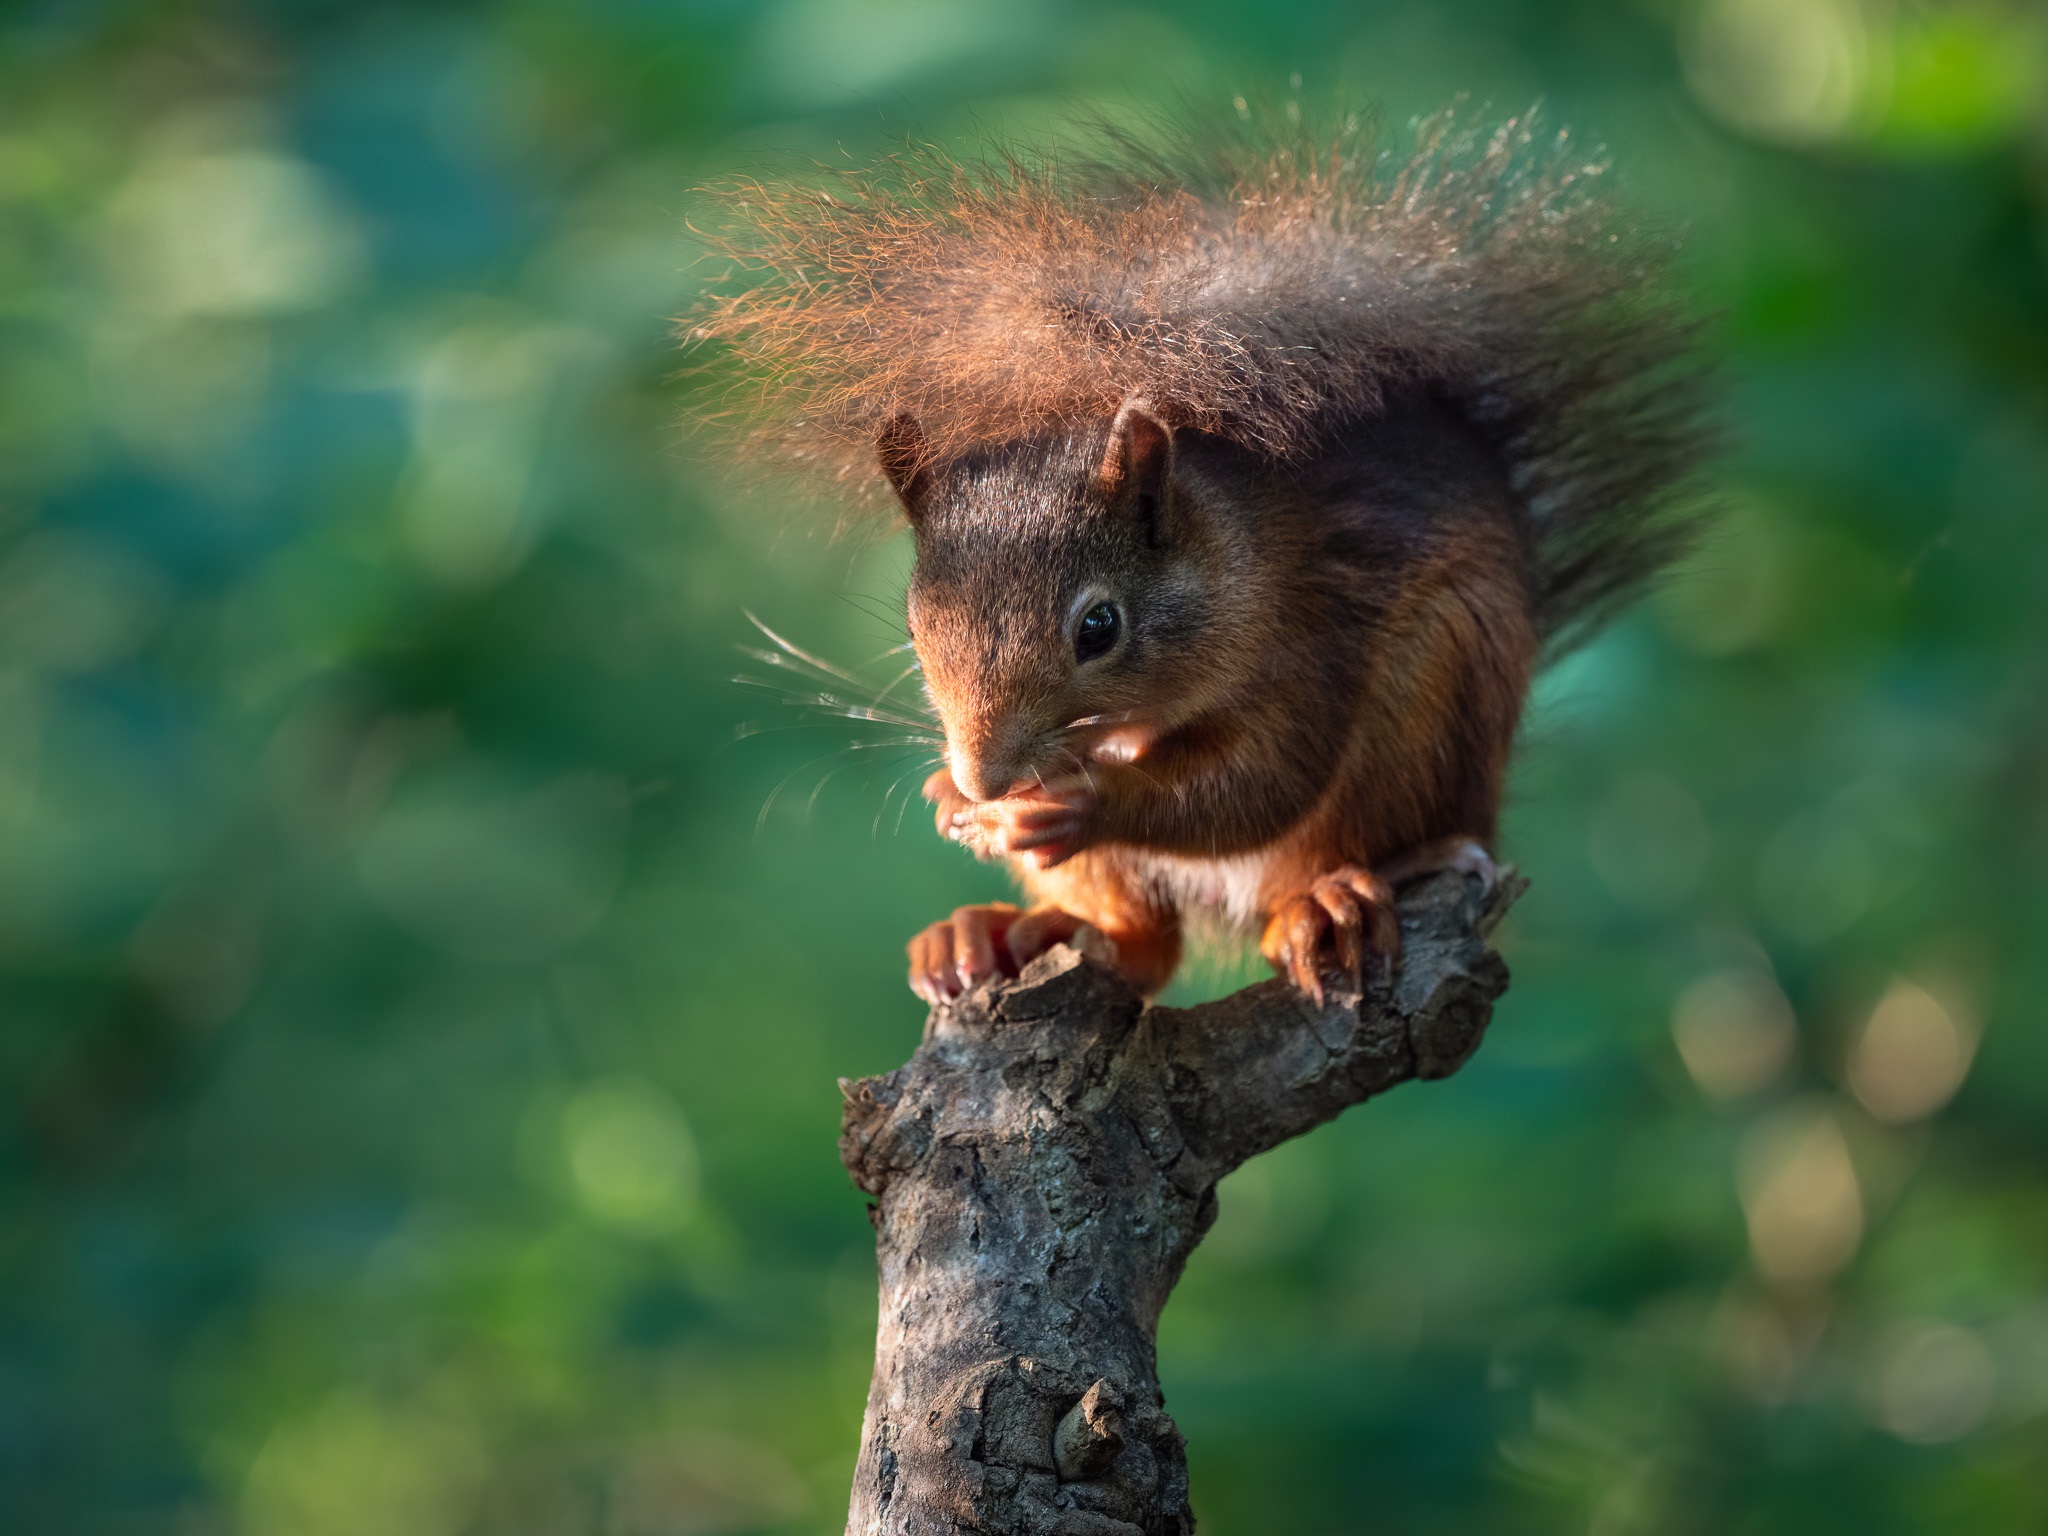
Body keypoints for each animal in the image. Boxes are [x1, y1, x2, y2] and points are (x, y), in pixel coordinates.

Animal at [690, 109, 1711, 1004]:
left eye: (1100, 627)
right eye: (913, 626)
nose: (986, 780)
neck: (1228, 553)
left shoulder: (1309, 634)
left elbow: (1260, 778)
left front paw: (1083, 803)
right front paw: (949, 802)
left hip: (1434, 696)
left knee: (1353, 846)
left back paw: (1333, 899)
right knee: (1143, 950)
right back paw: (996, 933)